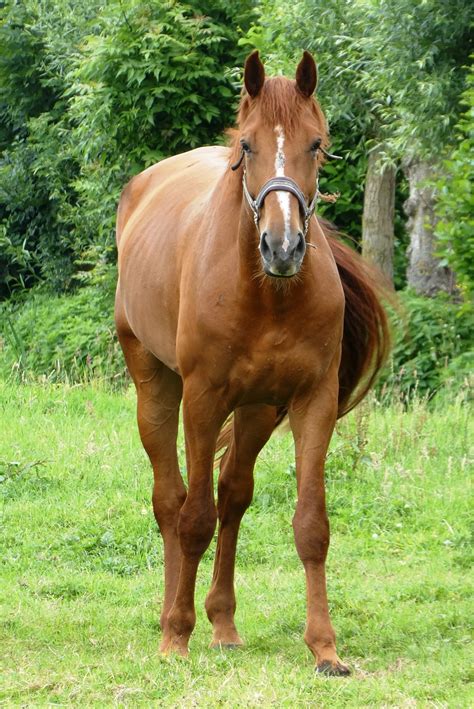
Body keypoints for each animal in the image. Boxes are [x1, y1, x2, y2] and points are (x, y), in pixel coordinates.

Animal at [115, 50, 389, 675]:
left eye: (317, 144)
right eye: (246, 145)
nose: (282, 246)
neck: (268, 295)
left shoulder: (312, 402)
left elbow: (310, 525)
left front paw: (325, 647)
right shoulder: (202, 399)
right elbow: (194, 518)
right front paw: (176, 637)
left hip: (259, 410)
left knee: (233, 494)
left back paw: (223, 625)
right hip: (156, 388)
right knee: (171, 501)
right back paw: (172, 618)